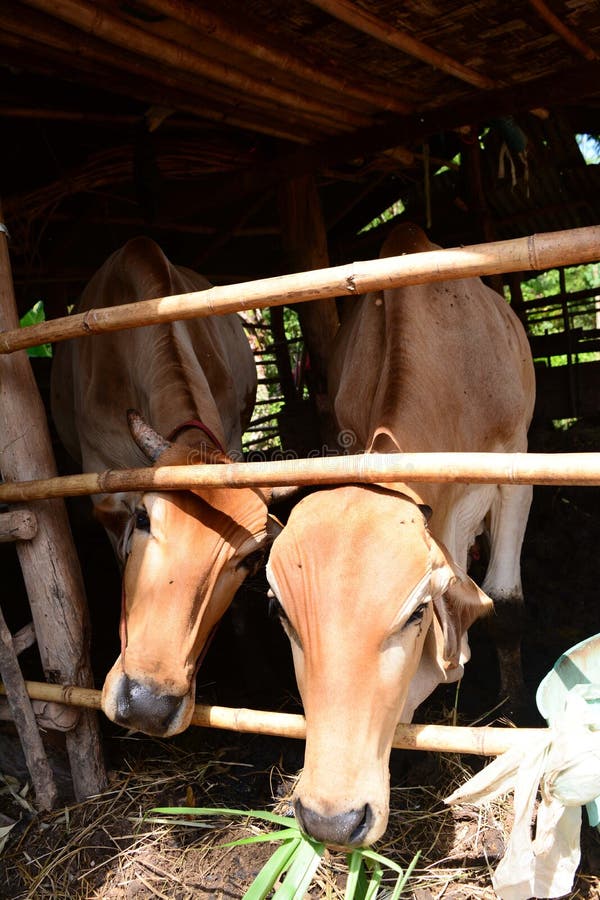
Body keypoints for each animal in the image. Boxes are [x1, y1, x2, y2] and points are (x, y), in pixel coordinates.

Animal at [266, 222, 536, 847]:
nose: (331, 819)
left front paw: (512, 712)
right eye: (281, 613)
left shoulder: (517, 466)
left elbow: (505, 606)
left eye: (415, 614)